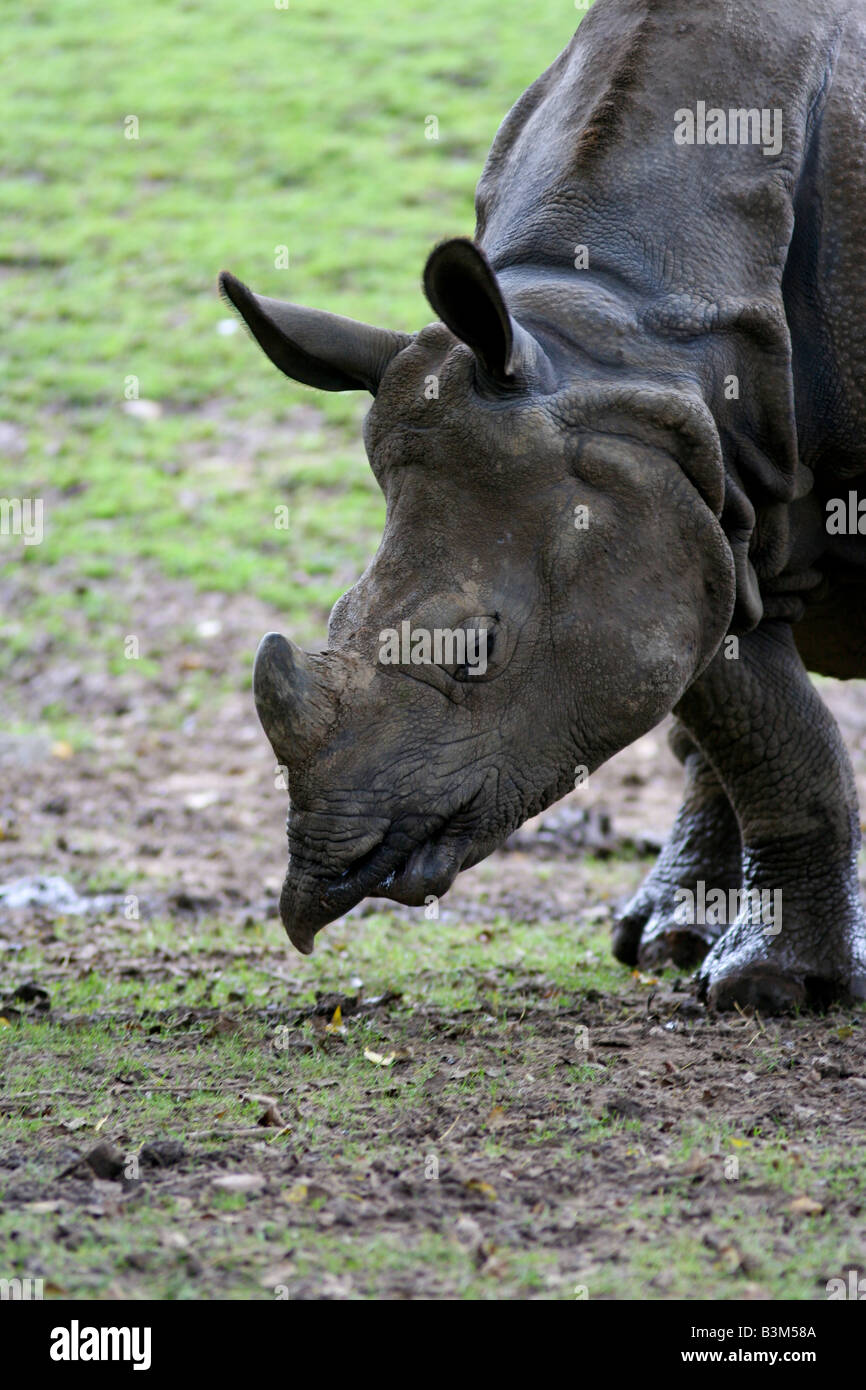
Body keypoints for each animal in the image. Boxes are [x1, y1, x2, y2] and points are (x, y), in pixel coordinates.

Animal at [220, 0, 866, 1012]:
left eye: (477, 652)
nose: (318, 886)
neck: (616, 327)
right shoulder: (679, 477)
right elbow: (765, 731)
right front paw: (775, 990)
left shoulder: (658, 467)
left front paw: (774, 991)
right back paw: (668, 943)